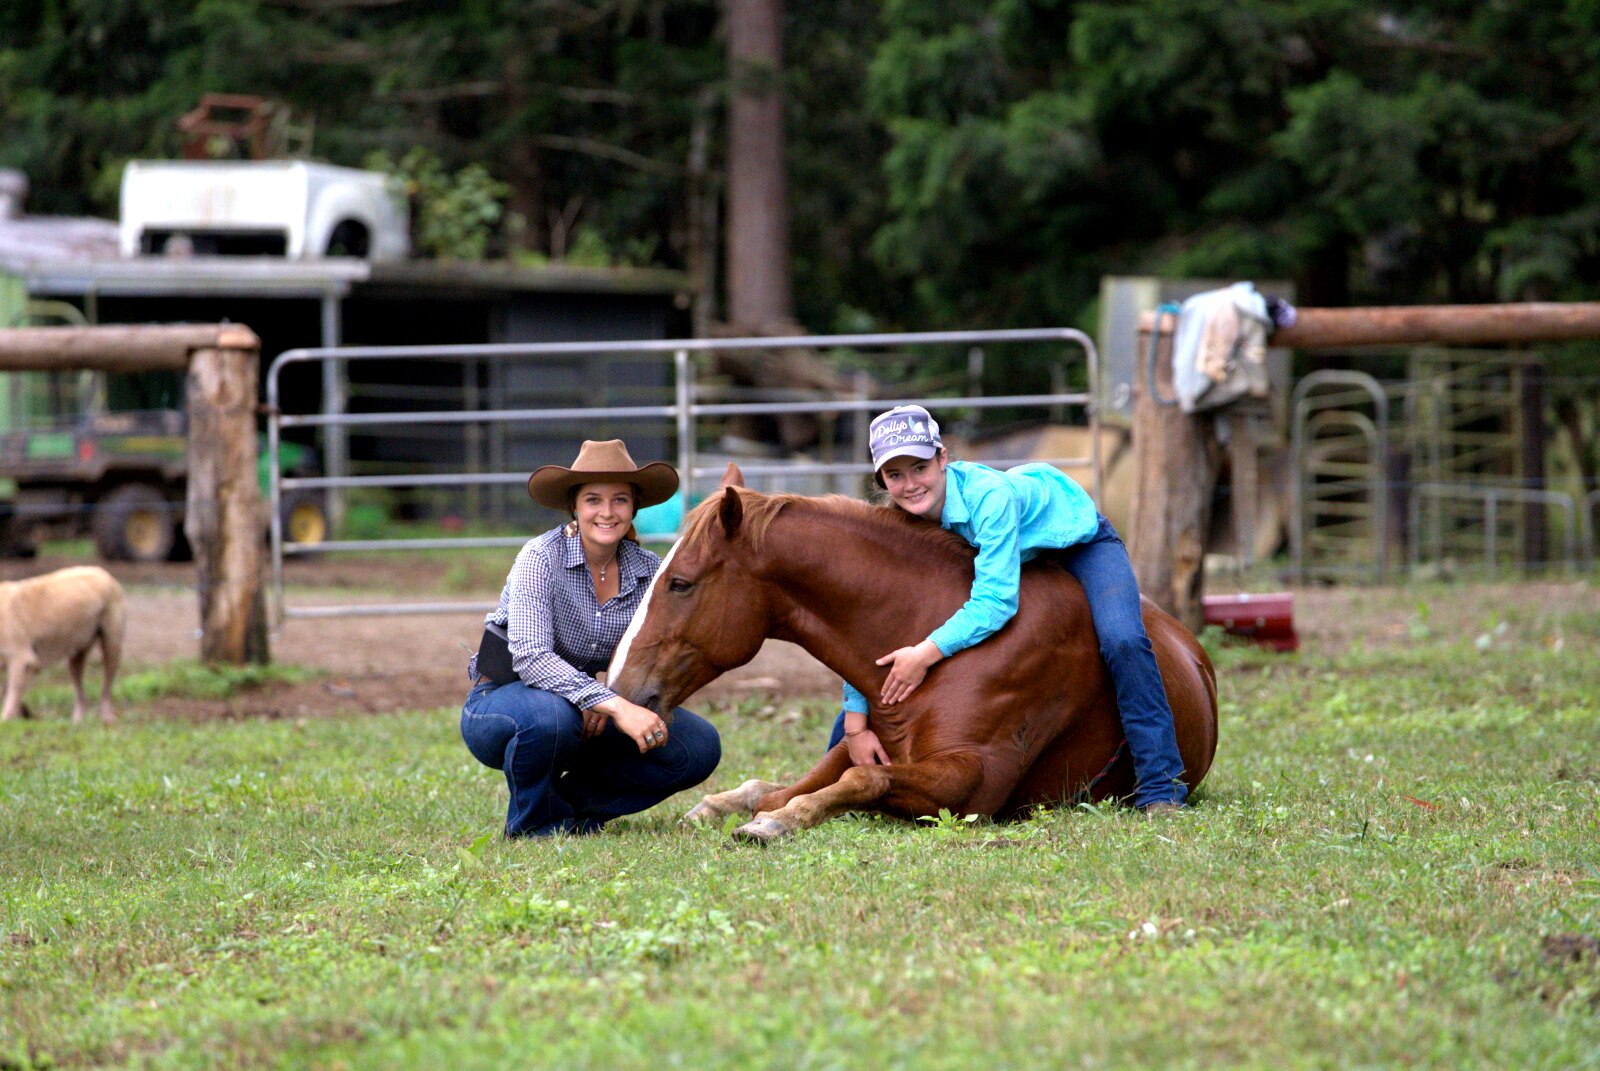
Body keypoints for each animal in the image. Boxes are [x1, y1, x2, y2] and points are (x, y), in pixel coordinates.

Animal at [608, 466, 1218, 842]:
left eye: (680, 583)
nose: (619, 688)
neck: (934, 635)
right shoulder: (866, 746)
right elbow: (788, 785)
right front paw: (726, 806)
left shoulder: (973, 780)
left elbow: (858, 783)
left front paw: (777, 823)